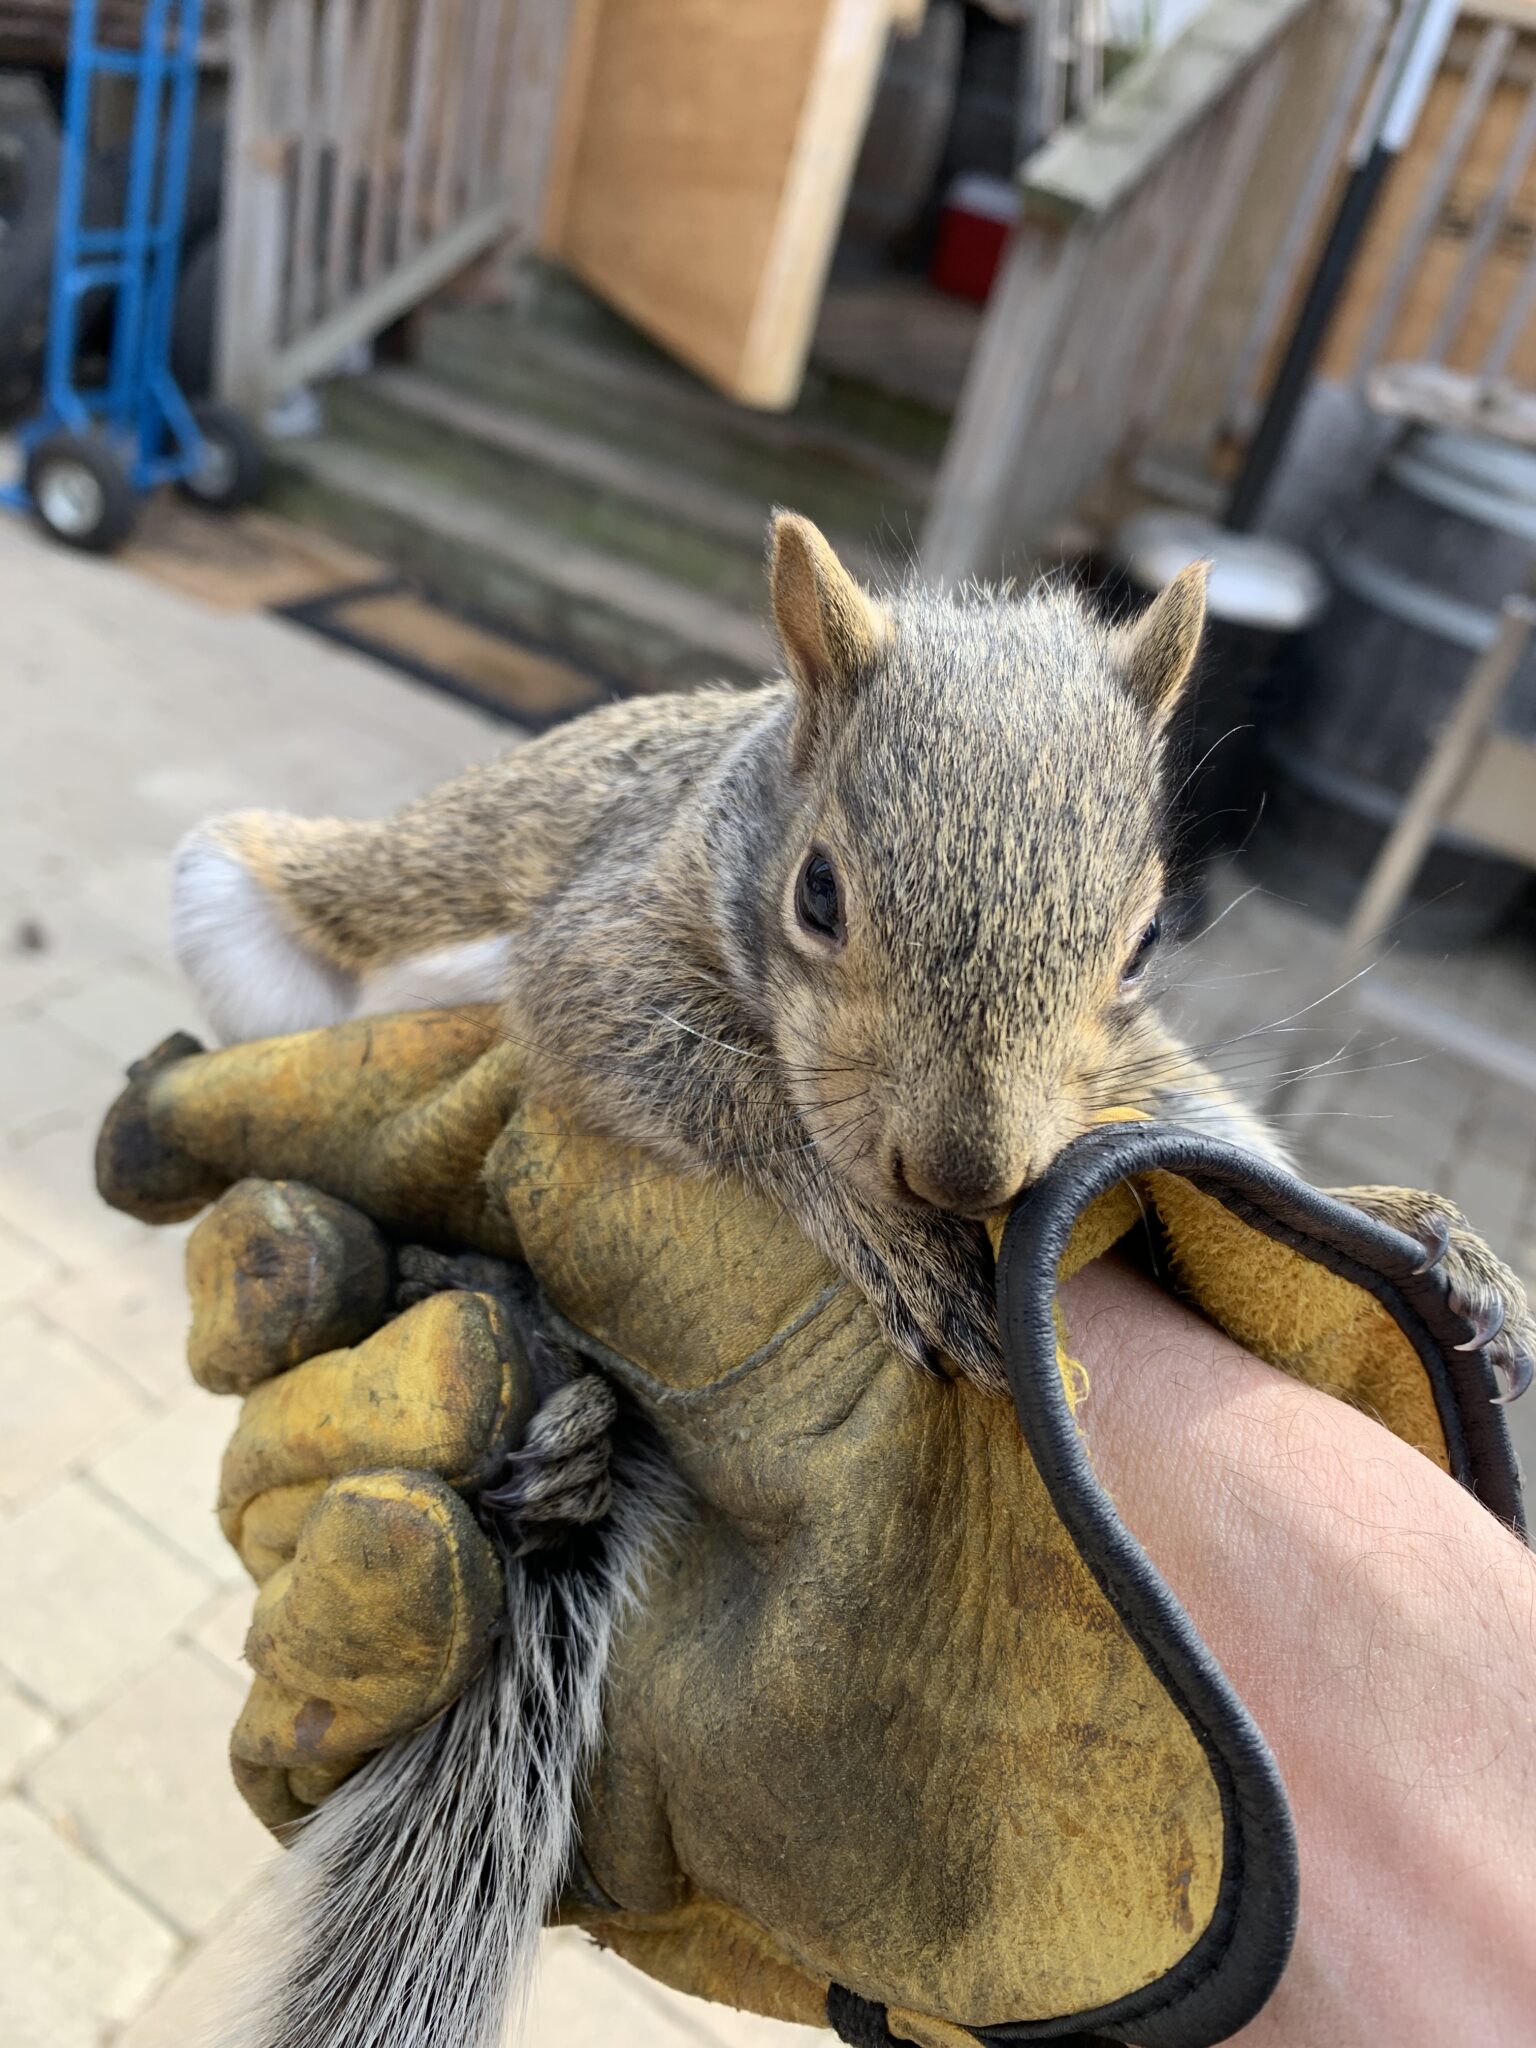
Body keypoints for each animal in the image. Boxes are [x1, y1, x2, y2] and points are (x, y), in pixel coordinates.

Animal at [175, 511, 1533, 1401]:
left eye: (1146, 941)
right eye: (816, 893)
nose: (963, 1176)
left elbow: (1202, 1120)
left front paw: (1409, 1221)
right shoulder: (605, 931)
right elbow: (666, 1051)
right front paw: (889, 1232)